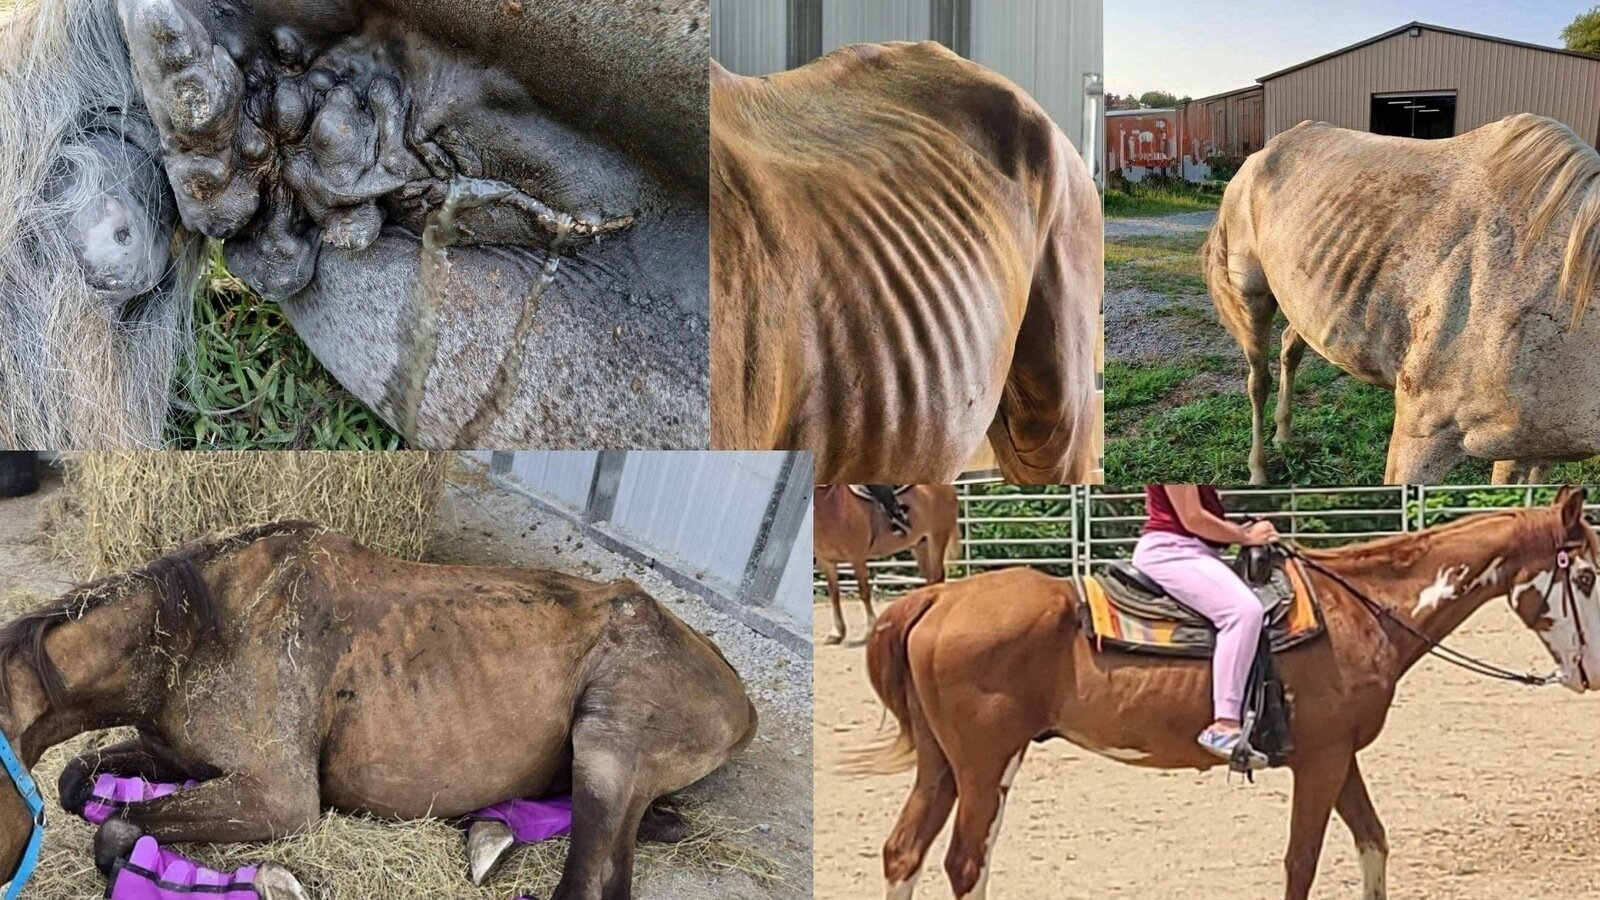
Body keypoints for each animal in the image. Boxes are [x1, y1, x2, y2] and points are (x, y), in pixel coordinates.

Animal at [0, 520, 756, 900]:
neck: (197, 637)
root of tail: (738, 690)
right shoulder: (171, 754)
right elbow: (75, 784)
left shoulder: (277, 797)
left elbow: (116, 831)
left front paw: (265, 879)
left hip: (607, 741)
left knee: (590, 879)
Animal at [814, 485, 959, 645]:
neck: (834, 505)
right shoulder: (828, 562)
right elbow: (834, 596)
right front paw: (836, 633)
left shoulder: (857, 558)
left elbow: (864, 593)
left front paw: (870, 630)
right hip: (920, 544)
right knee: (931, 580)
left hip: (938, 537)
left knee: (937, 577)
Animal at [850, 486, 1600, 900]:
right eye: (1587, 575)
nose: (1588, 672)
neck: (1361, 609)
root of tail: (937, 596)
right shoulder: (1320, 761)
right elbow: (1302, 864)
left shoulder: (1340, 756)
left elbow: (1373, 844)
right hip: (986, 764)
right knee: (966, 862)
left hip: (944, 765)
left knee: (904, 852)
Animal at [1208, 114, 1600, 484]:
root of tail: (1259, 155)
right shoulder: (1419, 434)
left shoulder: (1531, 451)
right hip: (1252, 295)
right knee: (1259, 380)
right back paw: (1258, 470)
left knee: (1291, 347)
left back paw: (1283, 435)